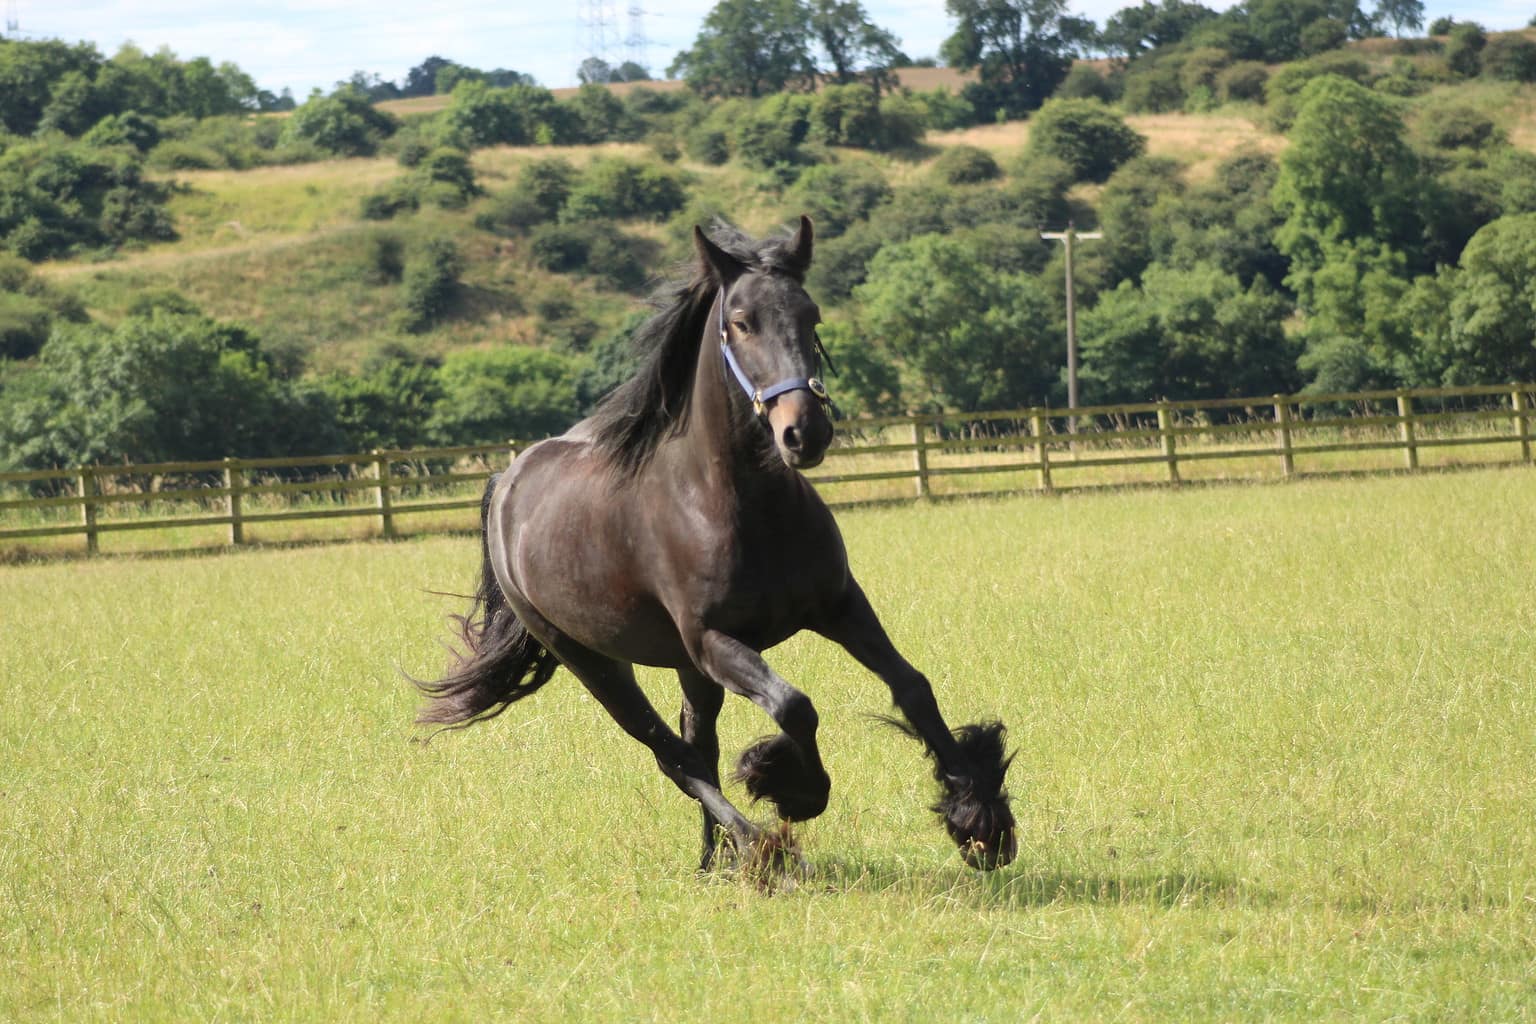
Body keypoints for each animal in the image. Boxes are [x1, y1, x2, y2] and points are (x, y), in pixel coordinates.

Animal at [416, 216, 1017, 872]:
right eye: (742, 322)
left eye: (812, 315)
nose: (805, 432)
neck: (736, 505)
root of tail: (507, 481)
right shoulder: (714, 642)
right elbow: (793, 706)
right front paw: (788, 784)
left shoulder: (838, 606)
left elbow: (912, 687)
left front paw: (978, 819)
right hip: (593, 662)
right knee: (671, 755)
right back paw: (757, 848)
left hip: (683, 666)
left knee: (695, 742)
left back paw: (716, 857)